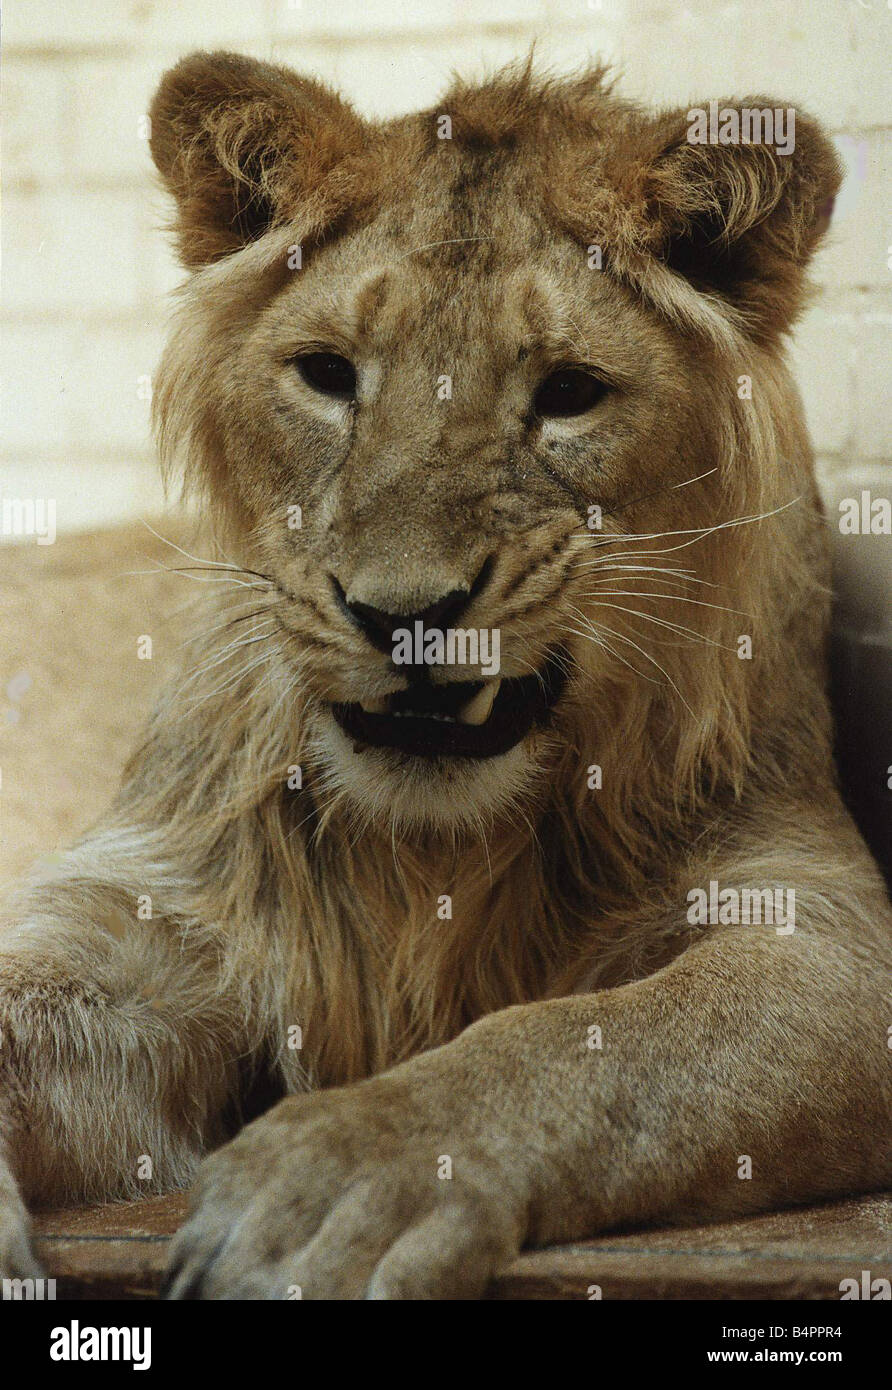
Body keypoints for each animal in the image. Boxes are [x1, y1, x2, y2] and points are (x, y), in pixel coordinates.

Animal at [1, 53, 890, 1300]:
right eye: (327, 376)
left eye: (567, 392)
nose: (403, 616)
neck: (433, 856)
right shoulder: (141, 928)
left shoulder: (818, 926)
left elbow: (569, 1040)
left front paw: (344, 1172)